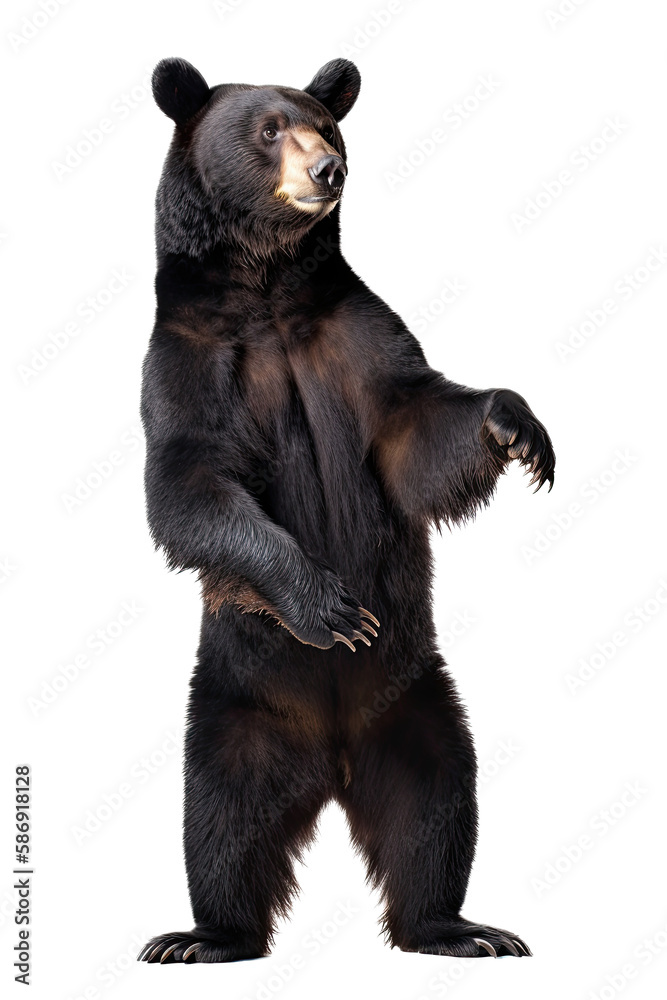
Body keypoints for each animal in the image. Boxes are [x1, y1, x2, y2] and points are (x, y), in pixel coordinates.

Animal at [138, 56, 554, 965]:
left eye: (324, 124)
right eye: (267, 130)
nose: (329, 169)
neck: (265, 291)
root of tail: (331, 762)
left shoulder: (353, 334)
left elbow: (412, 425)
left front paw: (514, 425)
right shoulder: (186, 357)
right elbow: (189, 483)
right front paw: (329, 606)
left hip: (419, 701)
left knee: (437, 808)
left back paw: (459, 929)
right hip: (236, 705)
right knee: (219, 817)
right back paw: (203, 937)